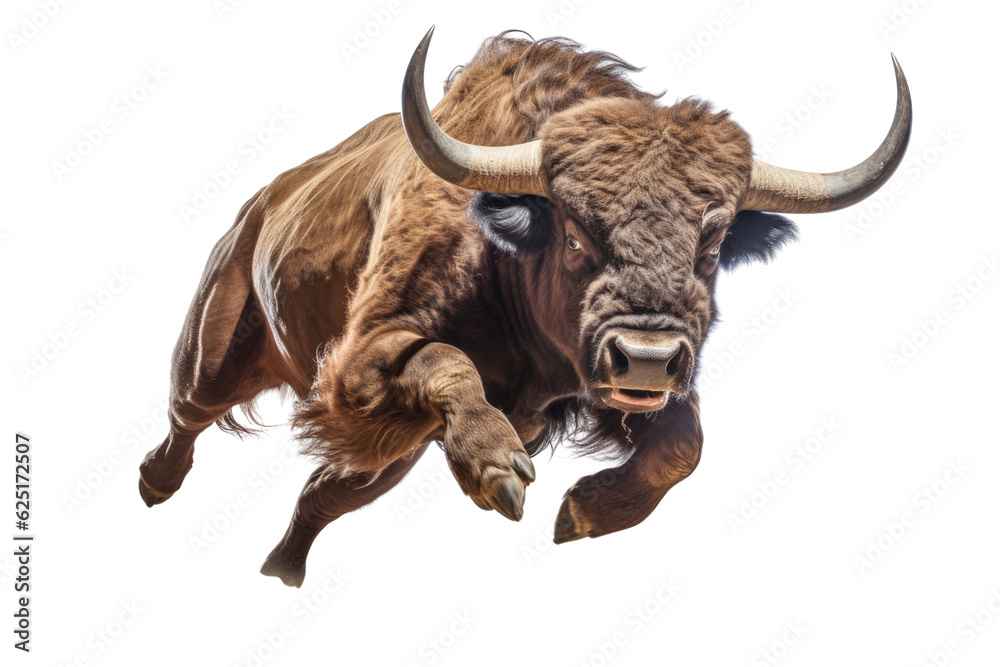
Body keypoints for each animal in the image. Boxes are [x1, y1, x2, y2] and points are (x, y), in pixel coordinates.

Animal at [138, 27, 911, 587]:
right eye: (573, 230)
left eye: (715, 239)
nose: (648, 359)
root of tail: (263, 201)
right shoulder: (360, 362)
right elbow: (445, 362)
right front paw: (501, 475)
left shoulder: (601, 390)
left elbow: (682, 443)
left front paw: (578, 514)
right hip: (218, 348)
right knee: (190, 412)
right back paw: (154, 485)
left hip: (395, 453)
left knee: (326, 492)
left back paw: (283, 572)